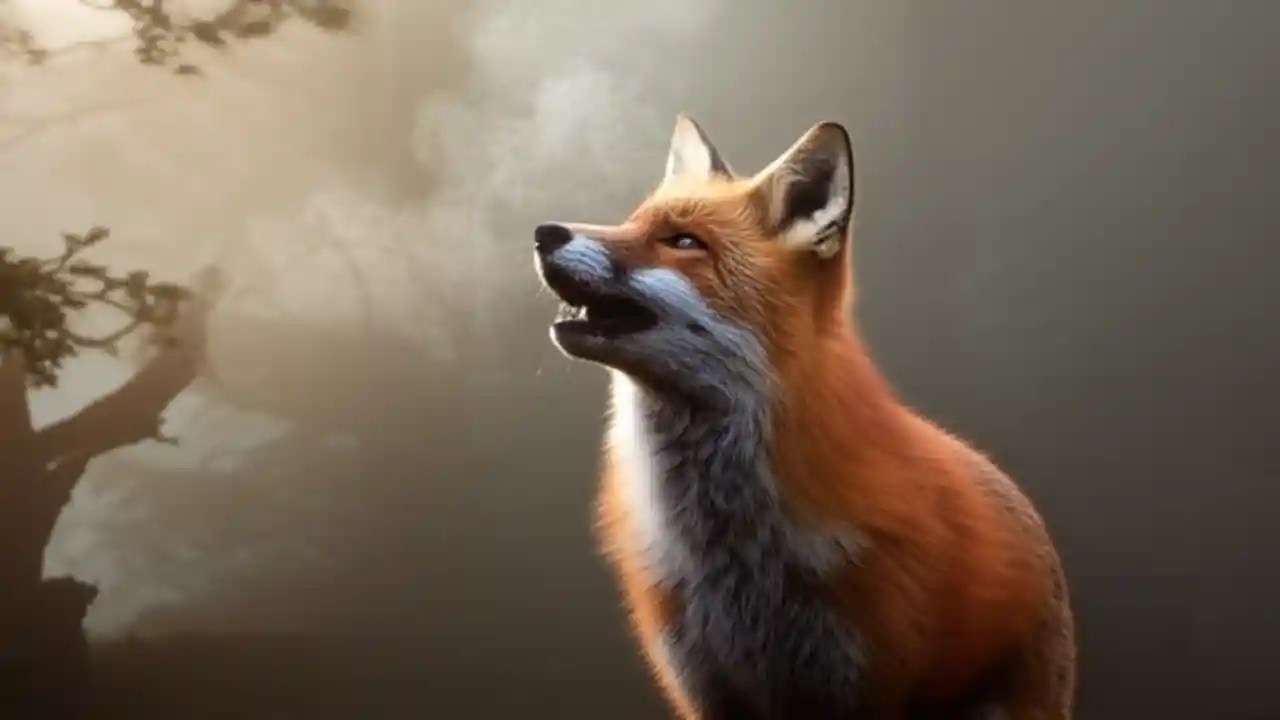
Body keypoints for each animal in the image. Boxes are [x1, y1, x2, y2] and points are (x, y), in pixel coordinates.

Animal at [532, 115, 1077, 719]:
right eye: (630, 220)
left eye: (682, 242)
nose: (544, 233)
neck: (734, 558)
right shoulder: (708, 688)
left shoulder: (862, 683)